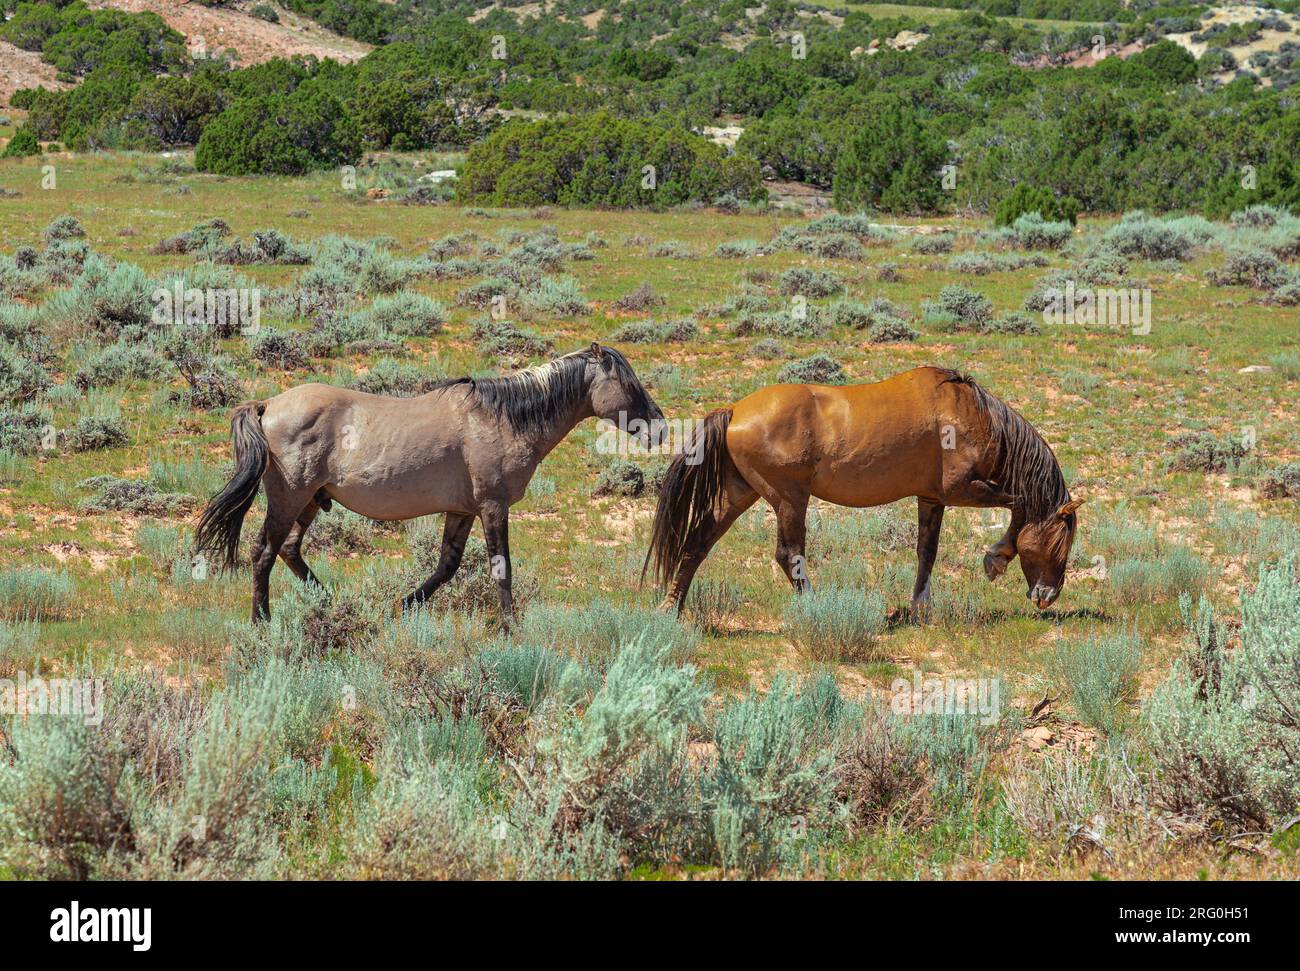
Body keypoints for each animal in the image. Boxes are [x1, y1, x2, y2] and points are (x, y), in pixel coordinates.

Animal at [196, 343, 665, 621]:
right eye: (628, 383)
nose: (659, 427)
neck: (501, 419)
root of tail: (268, 404)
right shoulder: (493, 506)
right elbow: (502, 569)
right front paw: (510, 627)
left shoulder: (462, 511)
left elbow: (446, 568)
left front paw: (399, 608)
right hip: (288, 499)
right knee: (263, 553)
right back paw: (263, 621)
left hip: (312, 500)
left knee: (290, 551)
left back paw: (331, 602)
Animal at [645, 366, 1082, 619]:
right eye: (1061, 545)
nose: (1048, 596)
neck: (973, 414)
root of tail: (735, 410)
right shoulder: (961, 490)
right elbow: (1020, 507)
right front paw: (997, 559)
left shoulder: (932, 499)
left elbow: (927, 552)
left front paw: (921, 607)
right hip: (789, 499)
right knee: (789, 555)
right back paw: (816, 607)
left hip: (740, 494)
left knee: (698, 543)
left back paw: (671, 607)